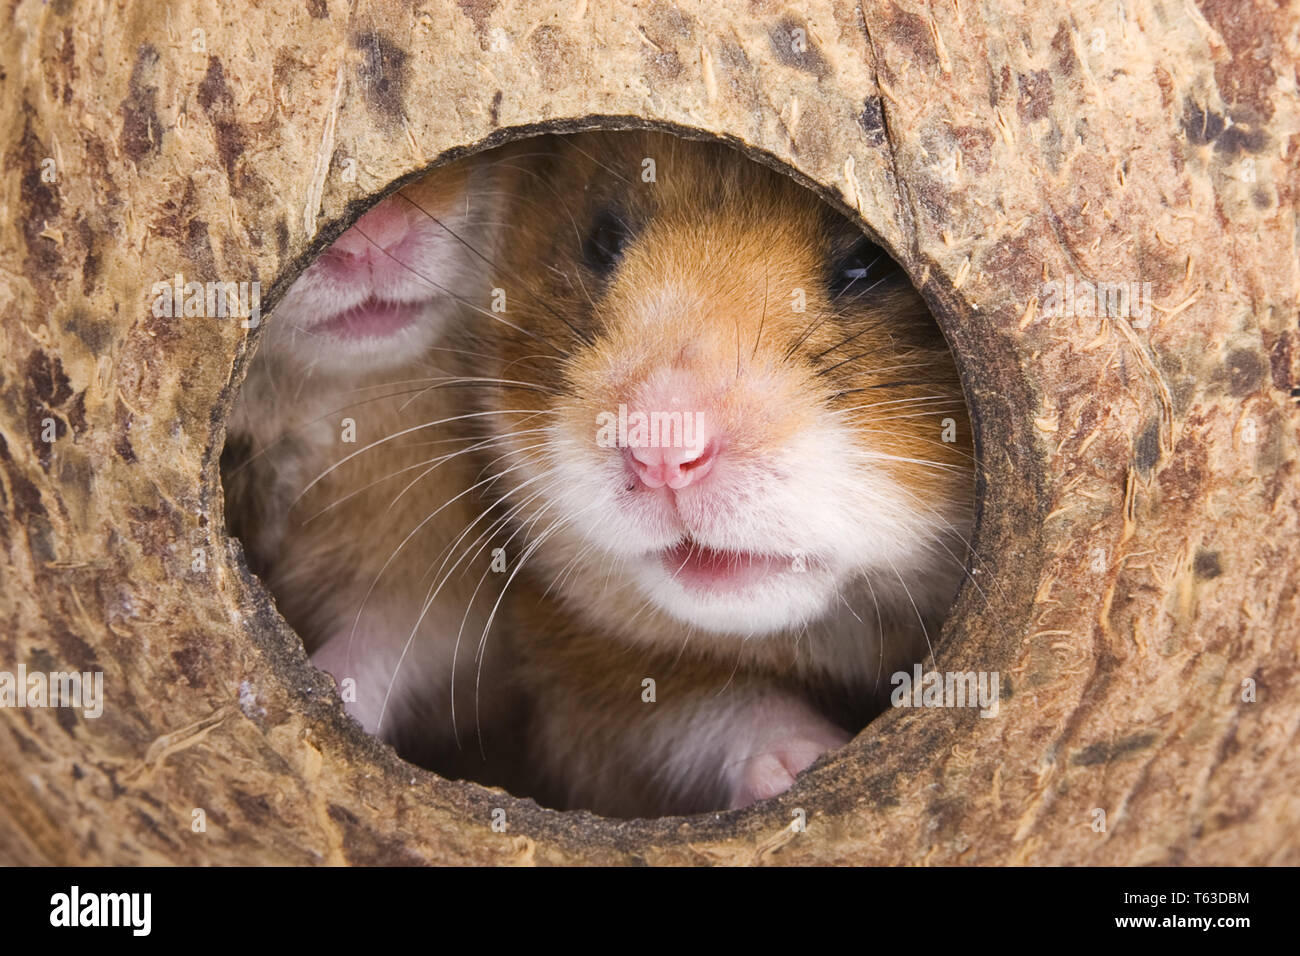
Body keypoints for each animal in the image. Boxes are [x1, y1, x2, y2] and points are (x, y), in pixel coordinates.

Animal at [454, 131, 975, 816]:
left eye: (869, 264)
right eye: (601, 240)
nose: (663, 456)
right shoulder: (581, 663)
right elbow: (708, 705)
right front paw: (803, 763)